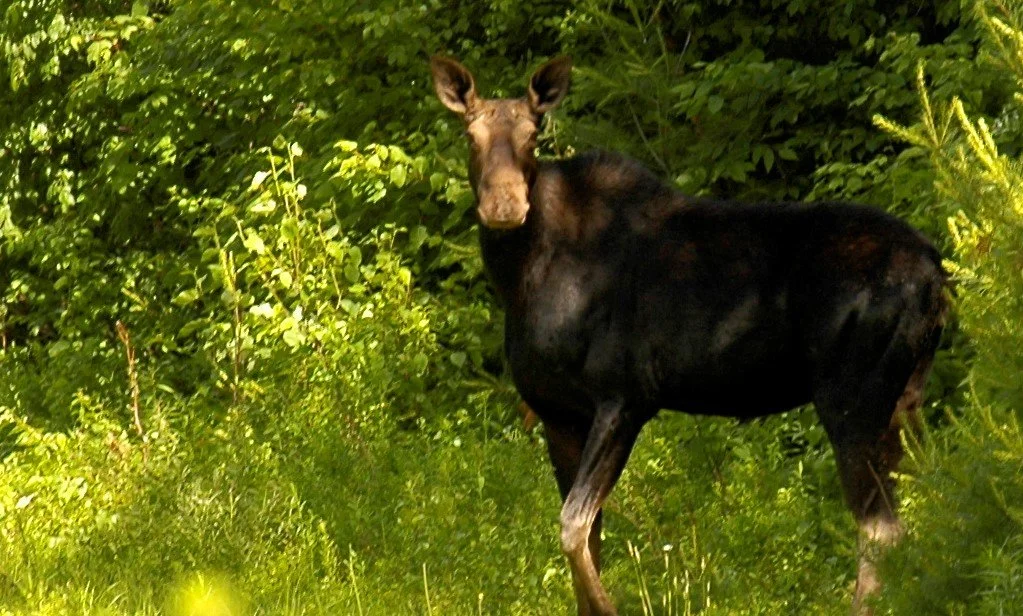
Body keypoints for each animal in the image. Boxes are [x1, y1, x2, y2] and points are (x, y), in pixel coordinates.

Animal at [430, 55, 946, 616]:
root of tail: (937, 275)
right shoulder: (557, 414)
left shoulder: (625, 397)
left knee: (880, 530)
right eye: (470, 134)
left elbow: (572, 526)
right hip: (906, 399)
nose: (504, 206)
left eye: (533, 135)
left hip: (853, 397)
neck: (520, 279)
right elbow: (588, 537)